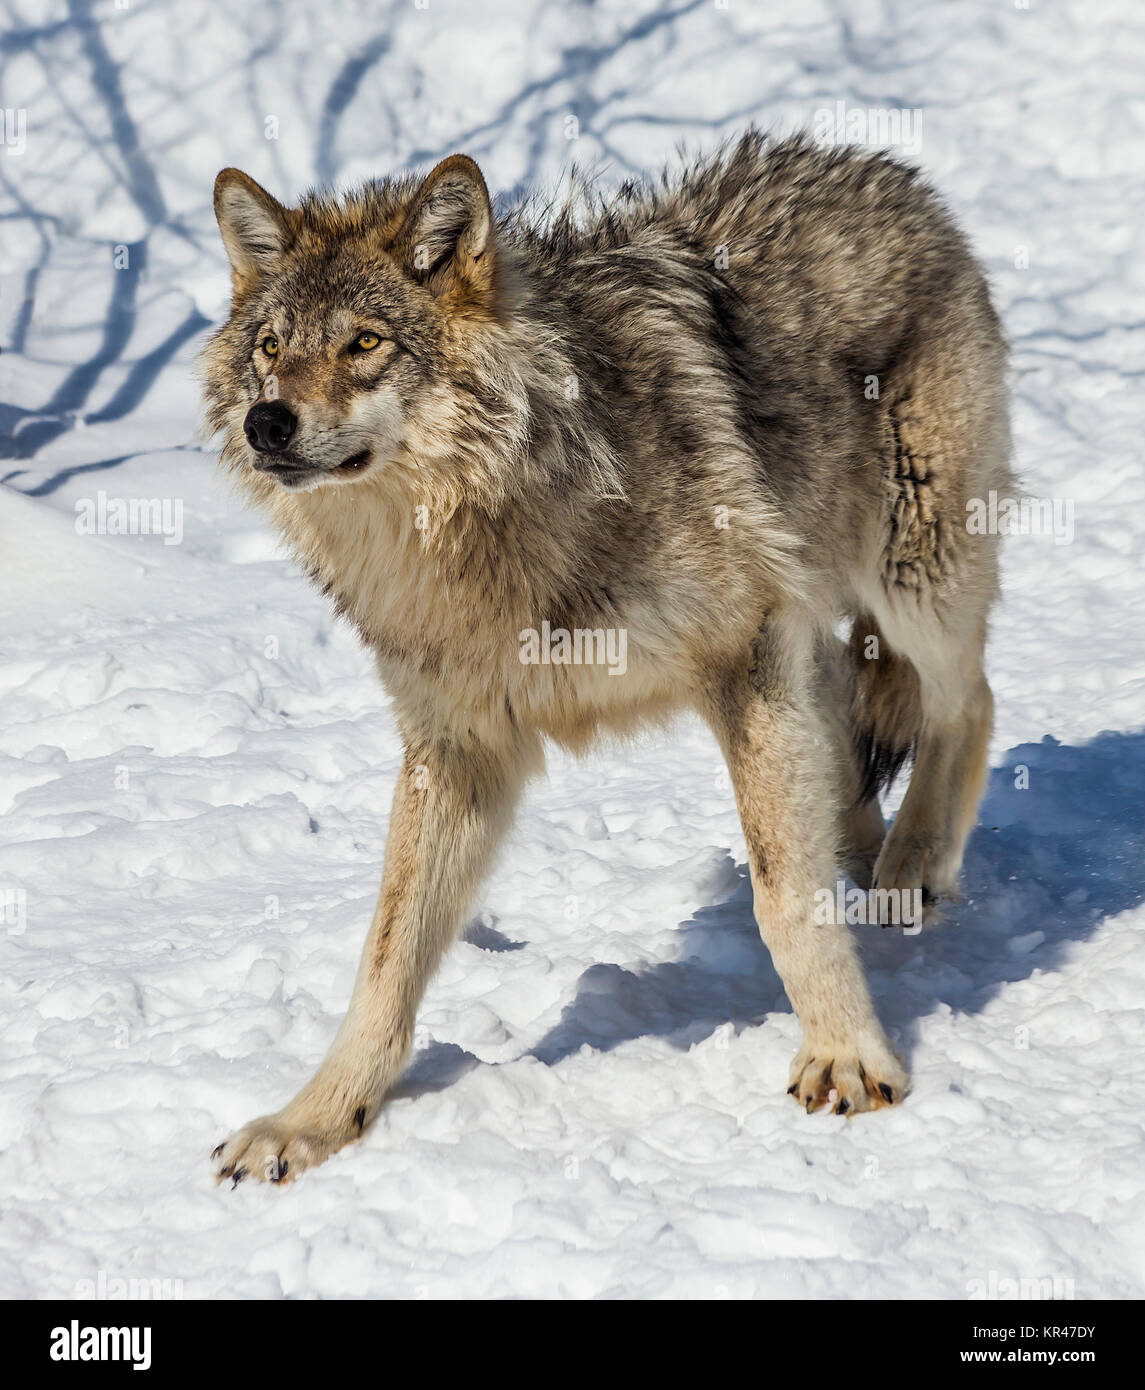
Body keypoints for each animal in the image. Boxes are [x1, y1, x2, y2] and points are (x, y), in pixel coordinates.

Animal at [202, 131, 1011, 1185]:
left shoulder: (747, 652)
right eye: (270, 347)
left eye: (364, 344)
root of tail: (882, 170)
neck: (485, 529)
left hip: (912, 582)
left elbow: (782, 899)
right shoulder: (458, 749)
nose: (267, 422)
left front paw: (846, 1058)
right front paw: (315, 1119)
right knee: (852, 718)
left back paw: (910, 864)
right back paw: (863, 841)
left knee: (968, 700)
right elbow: (384, 959)